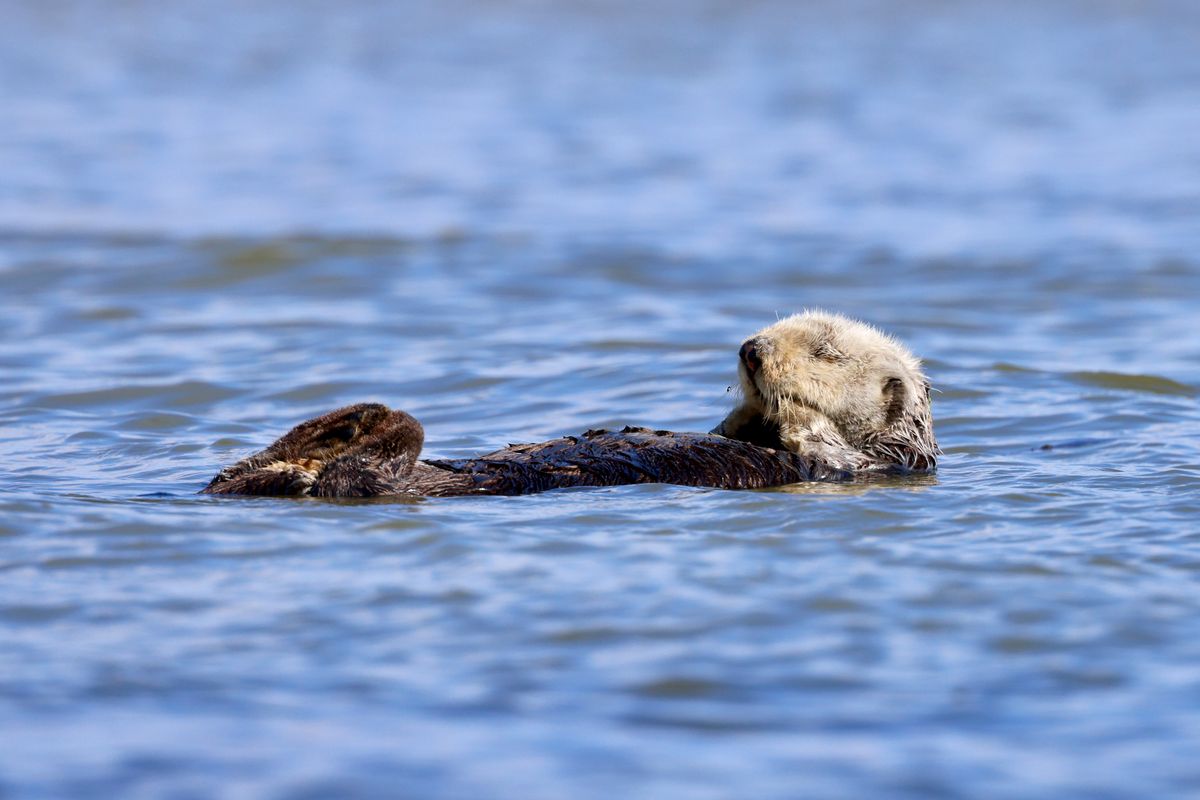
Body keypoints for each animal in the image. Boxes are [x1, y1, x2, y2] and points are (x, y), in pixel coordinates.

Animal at [202, 312, 938, 498]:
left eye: (825, 351)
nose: (751, 350)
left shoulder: (865, 461)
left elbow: (820, 445)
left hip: (380, 478)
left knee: (359, 473)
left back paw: (367, 422)